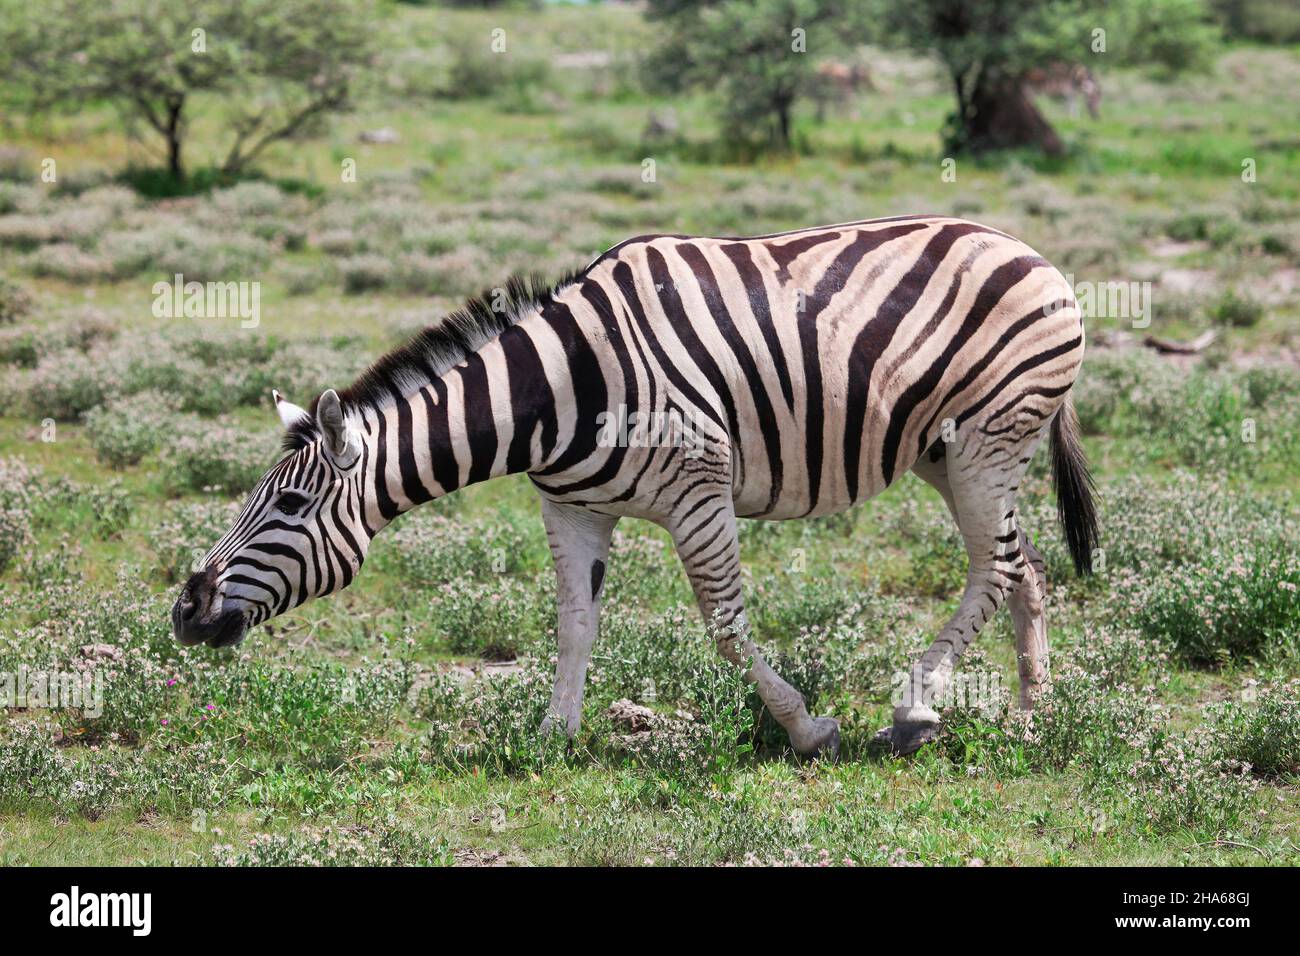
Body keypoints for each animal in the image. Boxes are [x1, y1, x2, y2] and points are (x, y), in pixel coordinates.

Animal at [172, 214, 1098, 757]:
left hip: (987, 437)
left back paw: (916, 708)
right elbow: (574, 624)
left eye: (290, 506)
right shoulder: (570, 507)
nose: (185, 610)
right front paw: (554, 736)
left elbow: (725, 625)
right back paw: (1034, 711)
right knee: (1023, 565)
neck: (558, 390)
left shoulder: (699, 493)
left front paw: (805, 727)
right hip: (947, 449)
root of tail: (1030, 250)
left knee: (997, 564)